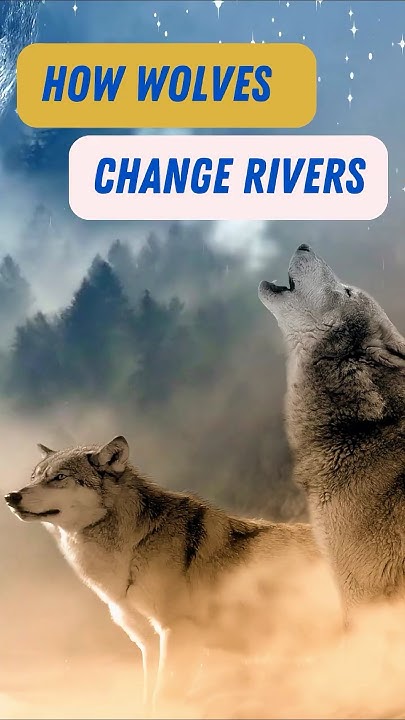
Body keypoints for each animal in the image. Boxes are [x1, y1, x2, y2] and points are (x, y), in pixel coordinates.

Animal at [4, 435, 320, 715]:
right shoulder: (149, 644)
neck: (133, 547)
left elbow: (163, 699)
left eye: (59, 477)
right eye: (34, 477)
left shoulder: (177, 634)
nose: (10, 496)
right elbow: (148, 701)